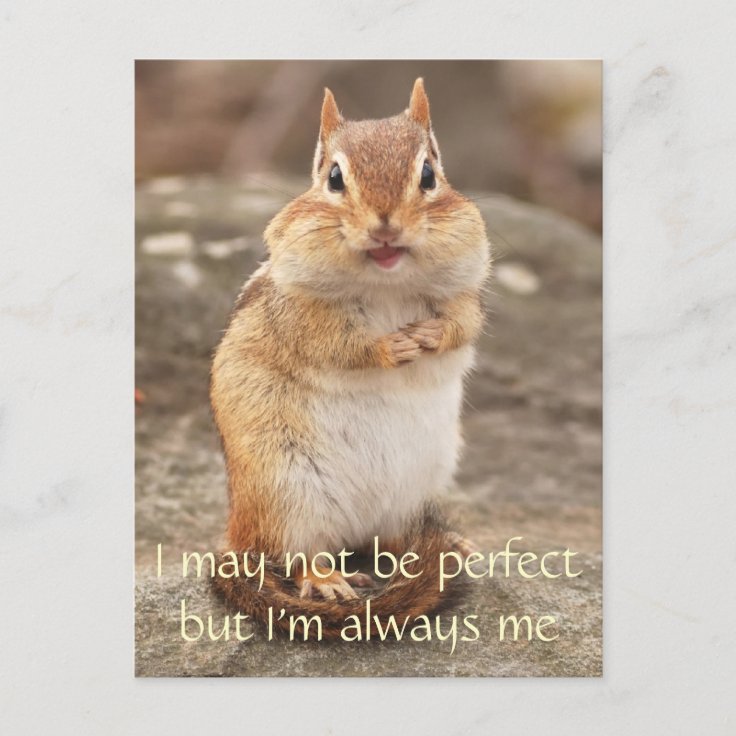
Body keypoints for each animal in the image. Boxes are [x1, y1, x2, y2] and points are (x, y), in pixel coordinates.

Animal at [210, 78, 491, 637]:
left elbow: (464, 323)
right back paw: (325, 579)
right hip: (286, 493)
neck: (387, 282)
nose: (385, 227)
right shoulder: (299, 313)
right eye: (334, 179)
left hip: (416, 489)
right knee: (296, 554)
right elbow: (335, 343)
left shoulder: (466, 290)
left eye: (429, 175)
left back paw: (449, 544)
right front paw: (390, 347)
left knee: (395, 539)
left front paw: (430, 336)